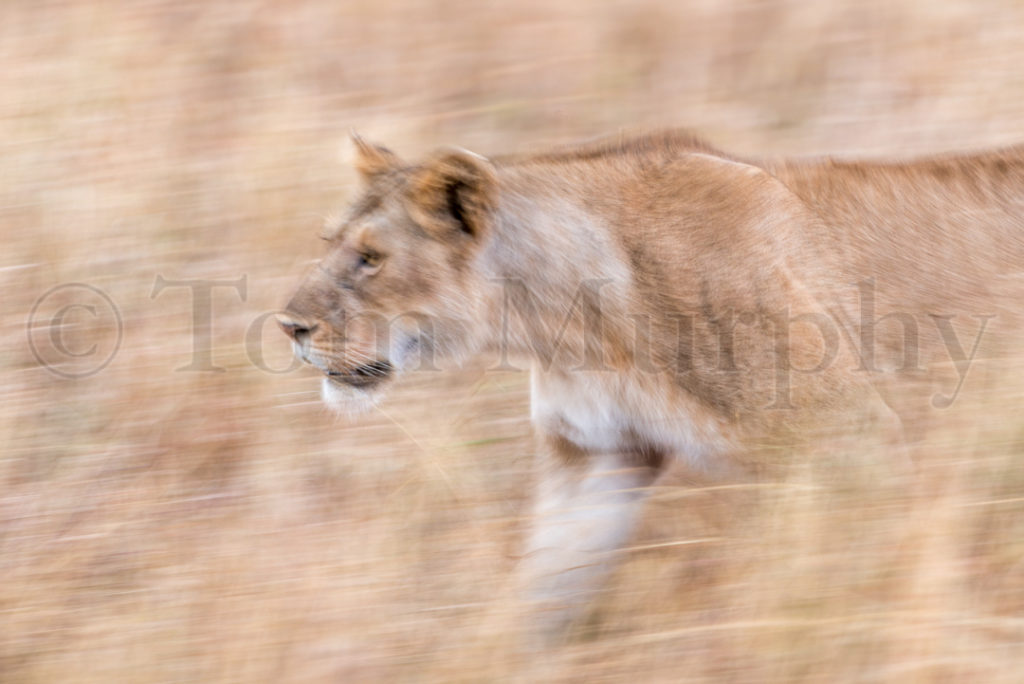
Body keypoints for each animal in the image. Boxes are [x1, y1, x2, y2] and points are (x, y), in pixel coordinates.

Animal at [278, 130, 1024, 641]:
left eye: (371, 258)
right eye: (327, 241)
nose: (289, 327)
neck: (565, 326)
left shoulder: (848, 441)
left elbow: (840, 584)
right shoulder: (594, 454)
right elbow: (543, 589)